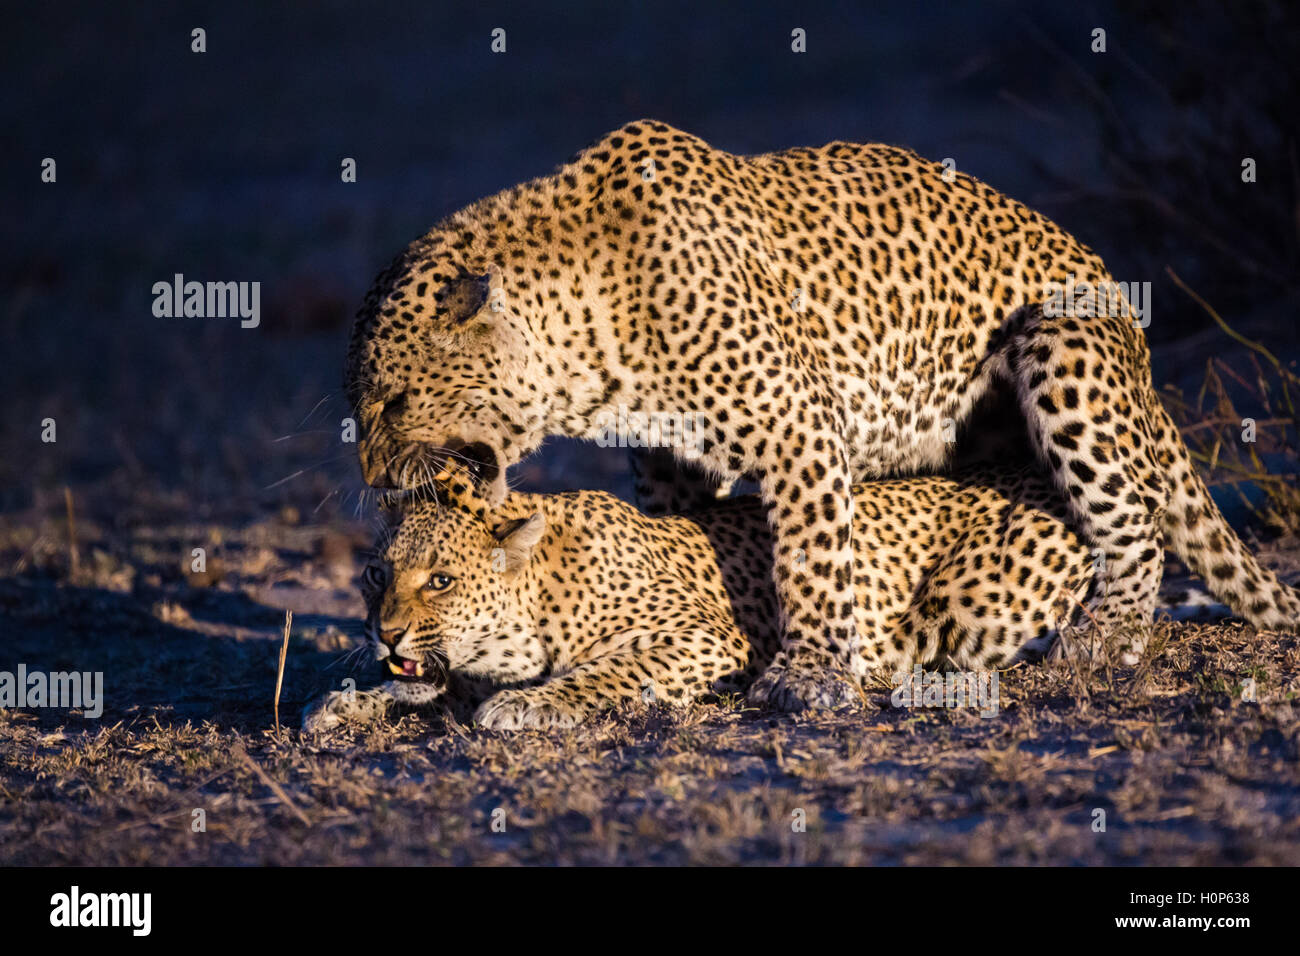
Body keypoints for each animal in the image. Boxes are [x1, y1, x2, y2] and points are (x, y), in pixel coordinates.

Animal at [302, 460, 1255, 733]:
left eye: (443, 579)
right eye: (378, 574)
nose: (385, 632)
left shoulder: (707, 638)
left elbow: (603, 673)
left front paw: (530, 705)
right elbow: (426, 688)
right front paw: (346, 701)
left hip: (955, 608)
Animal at [344, 119, 1300, 713]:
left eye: (392, 401)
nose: (374, 482)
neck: (590, 338)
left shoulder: (798, 426)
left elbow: (810, 556)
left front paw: (805, 675)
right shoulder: (667, 455)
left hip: (1064, 346)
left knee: (1130, 521)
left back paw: (1105, 636)